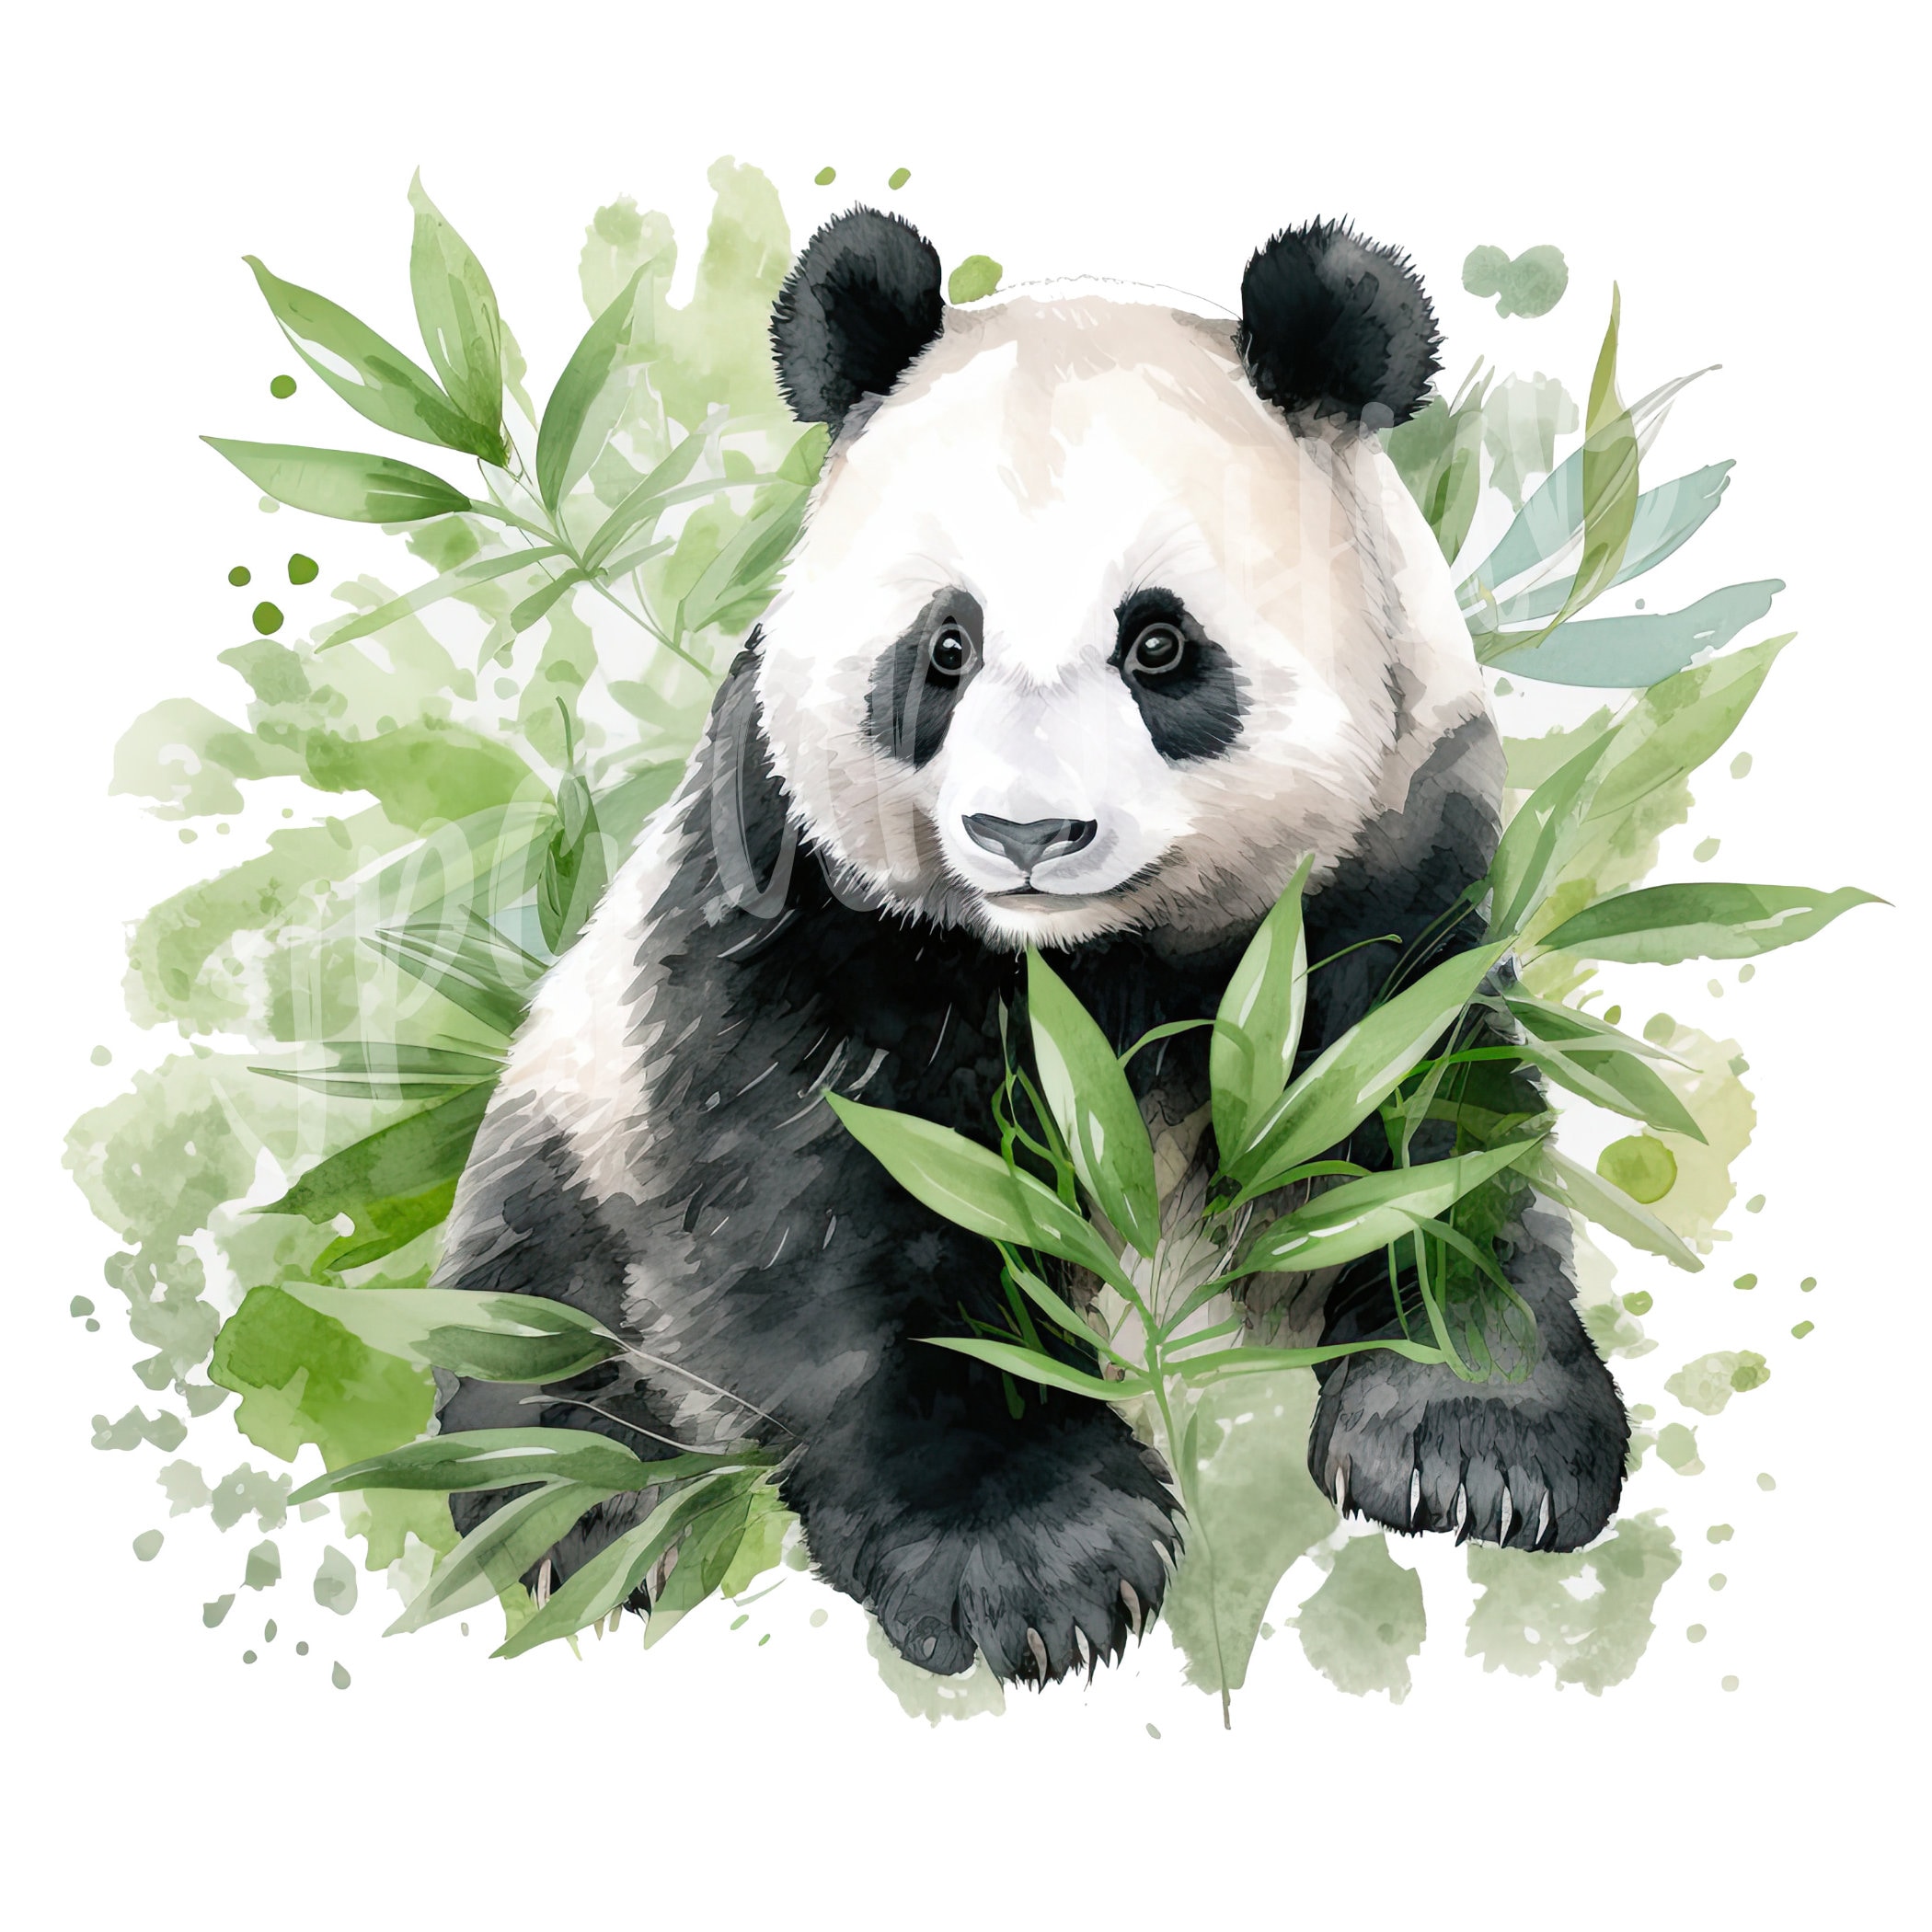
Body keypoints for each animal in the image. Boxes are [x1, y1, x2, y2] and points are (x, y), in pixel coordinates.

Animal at [431, 209, 1629, 1684]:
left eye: (1159, 644)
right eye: (945, 648)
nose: (1026, 833)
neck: (1093, 959)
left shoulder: (1386, 873)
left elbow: (1423, 1124)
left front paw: (1479, 1443)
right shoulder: (794, 894)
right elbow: (828, 1197)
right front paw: (1031, 1557)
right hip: (577, 1123)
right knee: (536, 1319)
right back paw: (596, 1512)